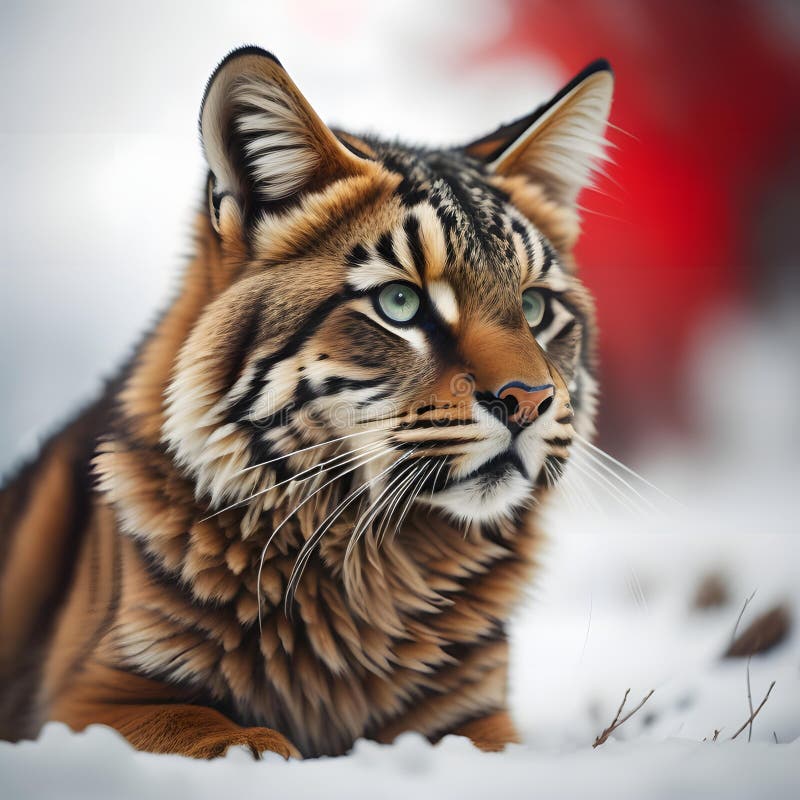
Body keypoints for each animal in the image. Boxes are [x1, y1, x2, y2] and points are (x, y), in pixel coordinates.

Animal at [0, 46, 613, 759]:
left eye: (535, 308)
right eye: (400, 303)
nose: (529, 399)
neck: (375, 560)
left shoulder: (476, 716)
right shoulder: (93, 699)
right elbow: (217, 731)